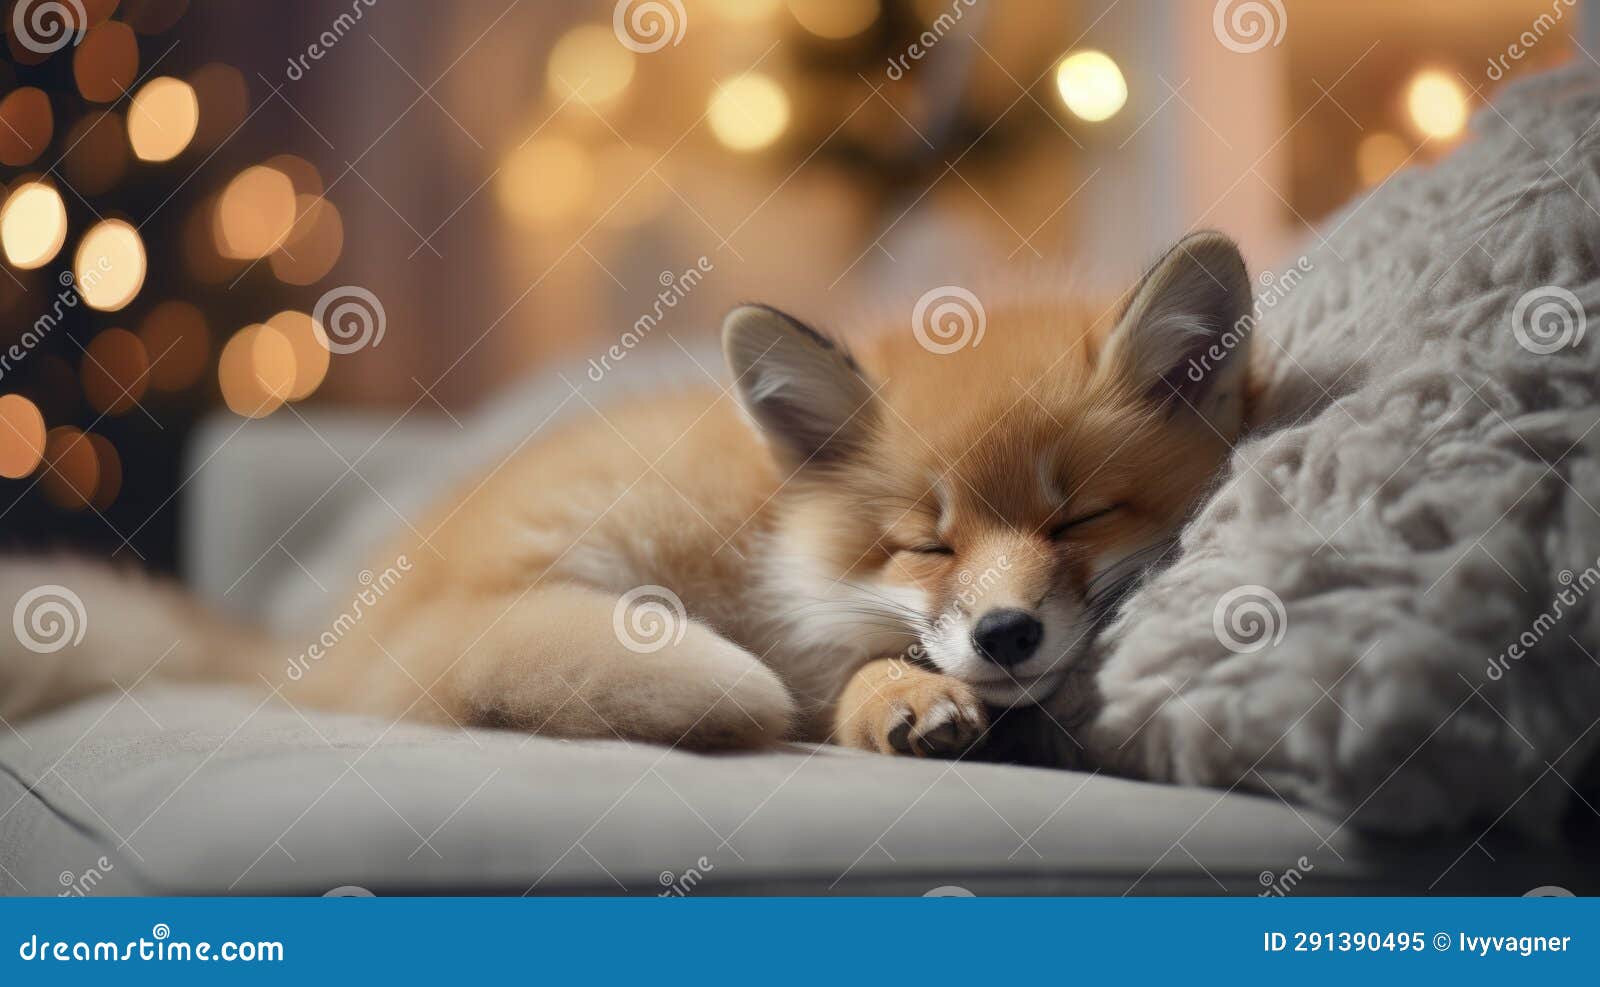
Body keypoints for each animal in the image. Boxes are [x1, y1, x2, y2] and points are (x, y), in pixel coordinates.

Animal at [1, 231, 1254, 762]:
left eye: (1077, 518)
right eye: (923, 545)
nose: (1003, 634)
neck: (777, 535)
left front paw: (901, 699)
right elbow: (829, 679)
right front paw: (892, 696)